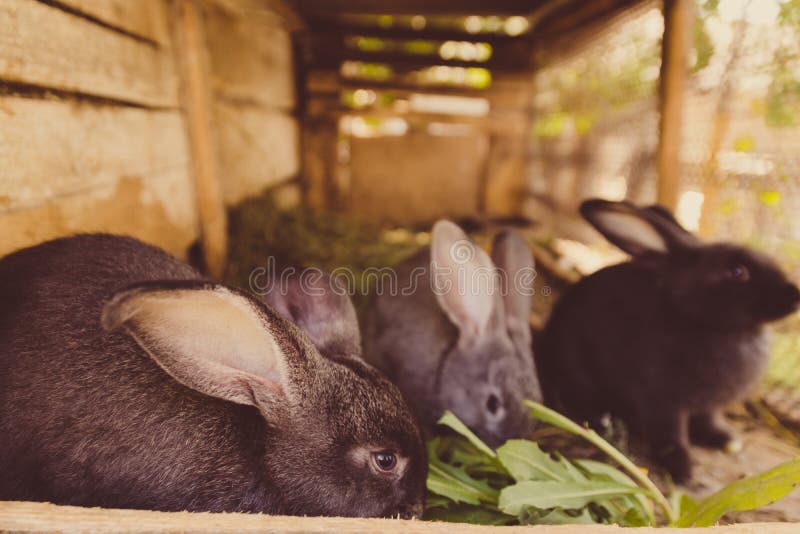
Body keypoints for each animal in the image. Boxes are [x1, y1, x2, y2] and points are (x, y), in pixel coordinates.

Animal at [537, 198, 800, 482]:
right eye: (737, 271)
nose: (794, 295)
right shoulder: (662, 402)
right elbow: (671, 435)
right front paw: (683, 470)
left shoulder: (708, 406)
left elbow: (708, 420)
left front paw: (725, 439)